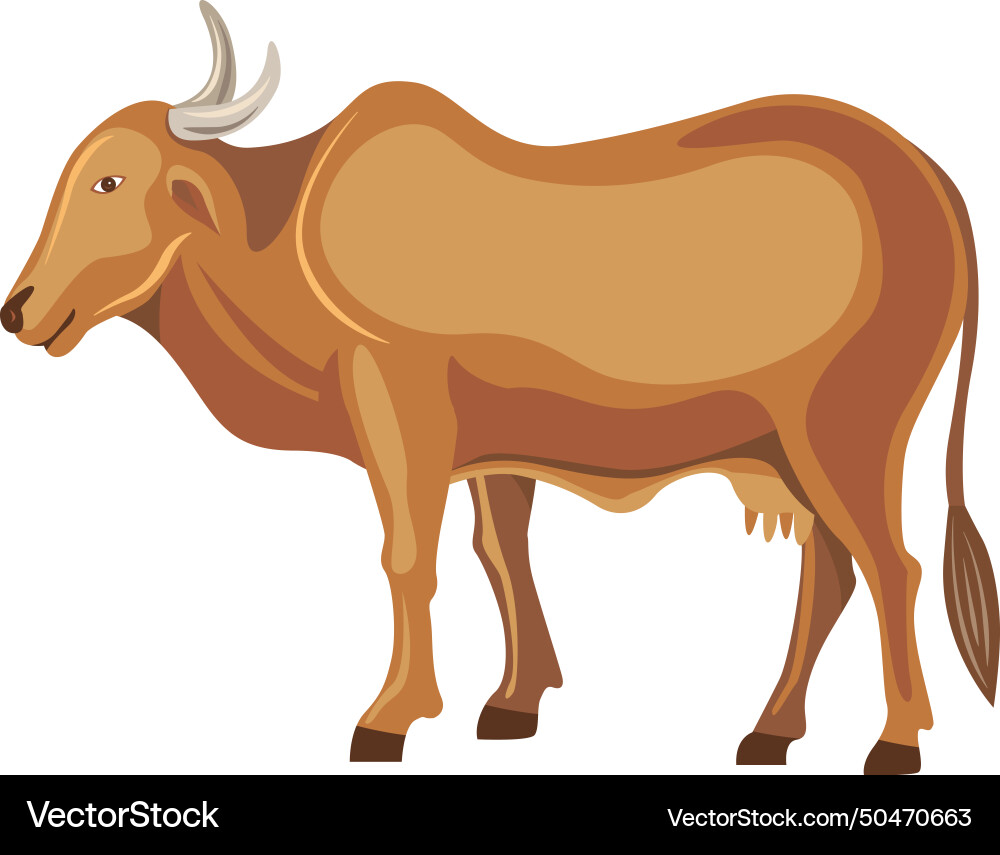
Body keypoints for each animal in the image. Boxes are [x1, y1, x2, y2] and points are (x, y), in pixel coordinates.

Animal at [2, 2, 996, 773]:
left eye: (109, 179)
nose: (17, 309)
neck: (278, 233)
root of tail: (929, 173)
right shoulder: (489, 445)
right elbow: (499, 552)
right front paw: (516, 701)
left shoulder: (399, 408)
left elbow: (410, 558)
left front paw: (390, 715)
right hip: (788, 451)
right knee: (831, 572)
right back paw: (770, 730)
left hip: (845, 435)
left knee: (893, 568)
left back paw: (895, 741)